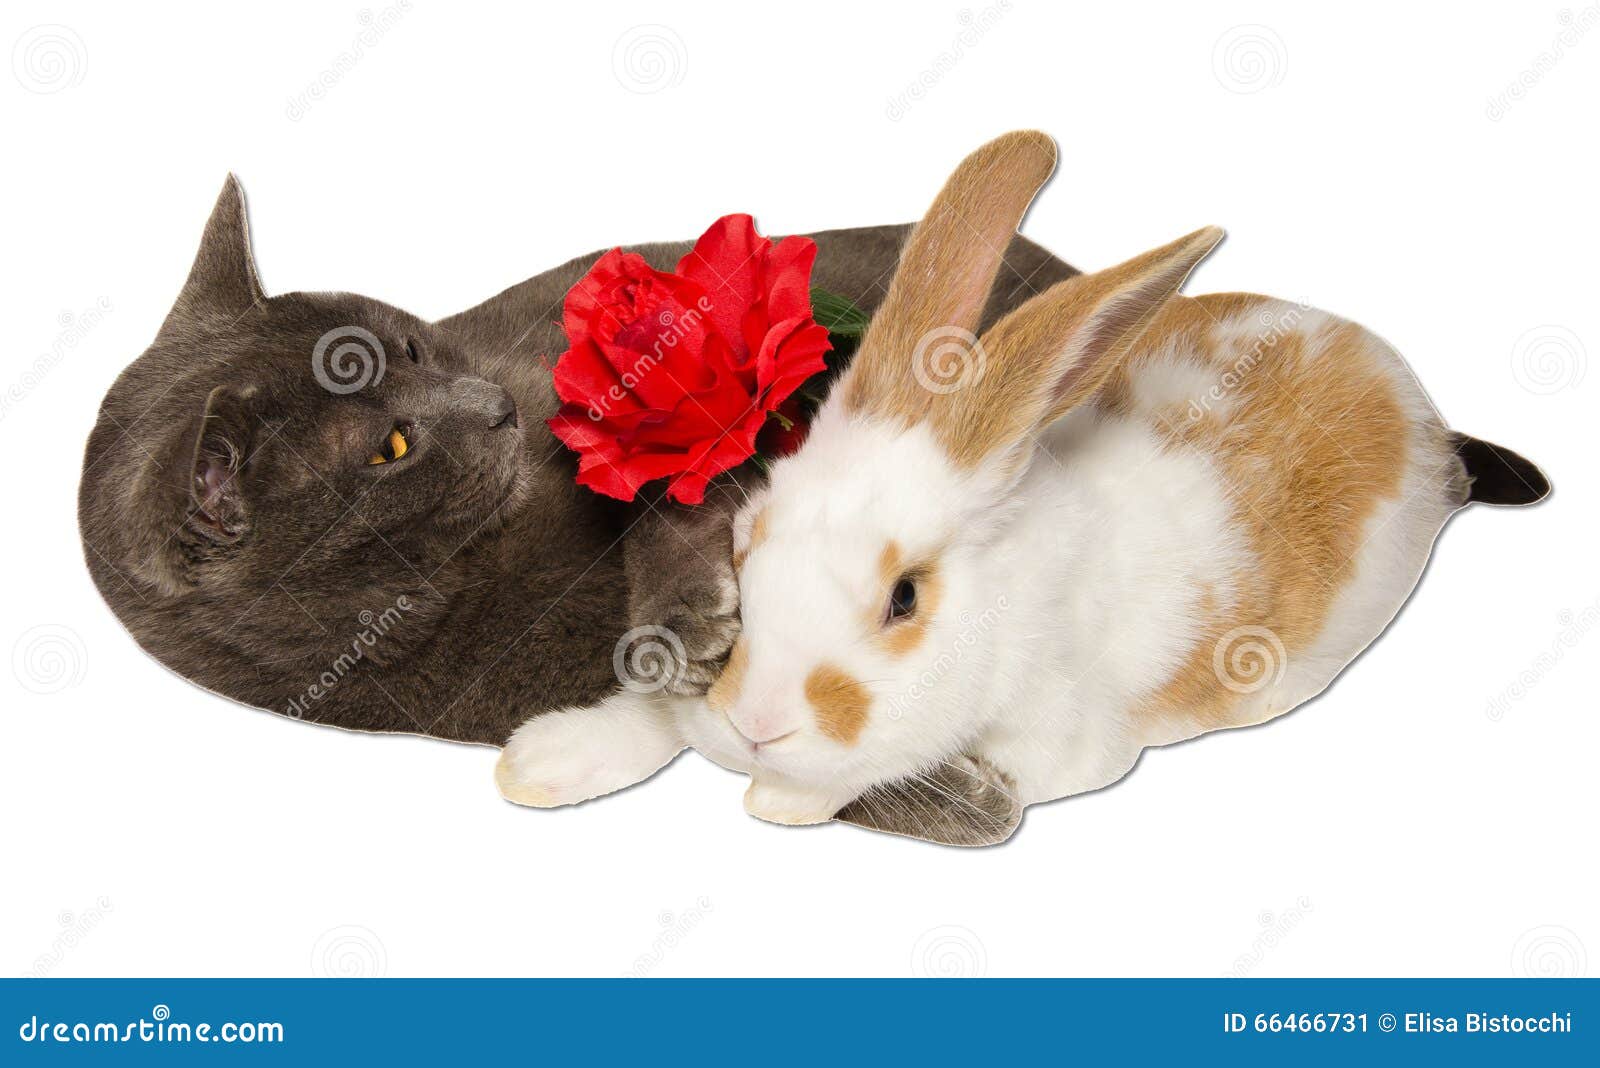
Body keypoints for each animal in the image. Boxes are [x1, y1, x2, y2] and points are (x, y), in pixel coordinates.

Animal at [497, 130, 1549, 841]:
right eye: (743, 551)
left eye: (904, 599)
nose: (758, 726)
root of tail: (1398, 381)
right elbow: (661, 712)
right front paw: (540, 762)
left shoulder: (1062, 746)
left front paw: (782, 795)